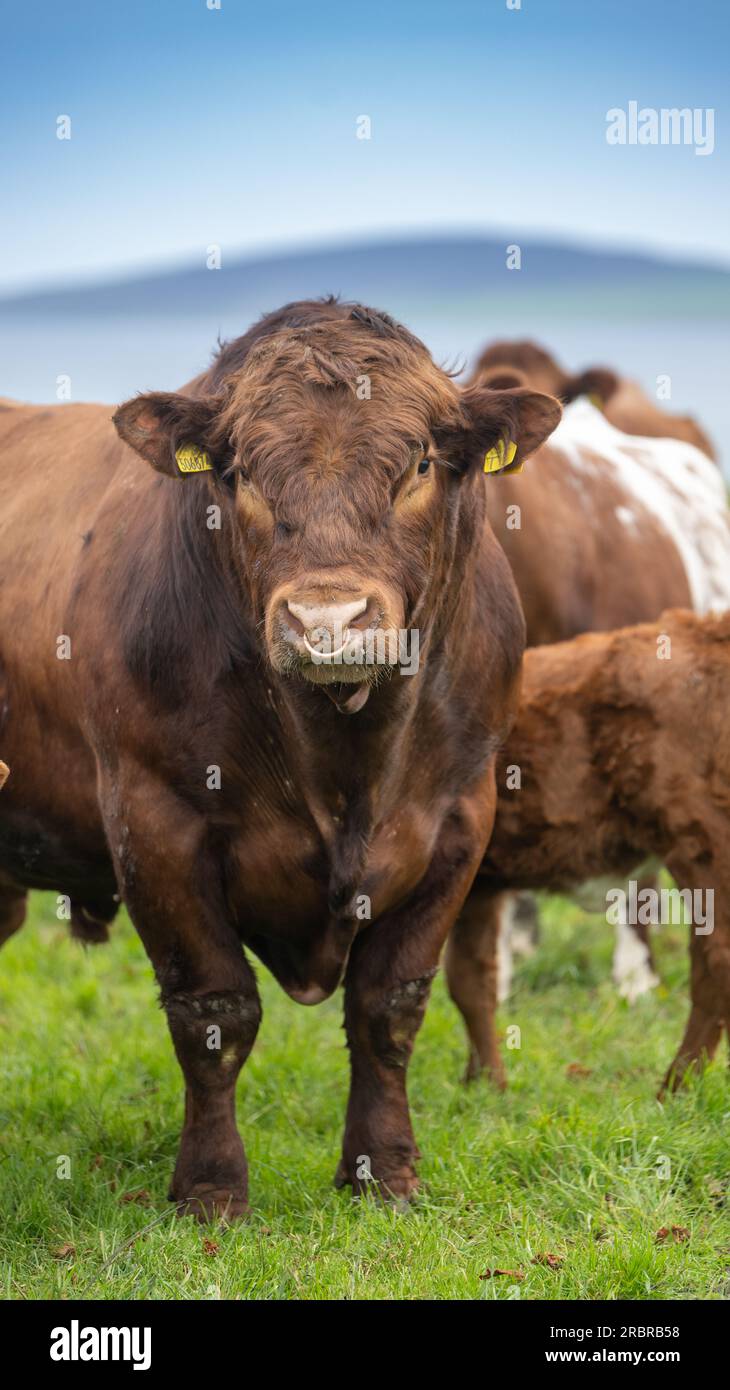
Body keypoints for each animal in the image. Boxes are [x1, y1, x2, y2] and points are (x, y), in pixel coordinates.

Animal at [0, 299, 561, 1217]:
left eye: (418, 462)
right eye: (241, 475)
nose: (327, 620)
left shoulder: (458, 819)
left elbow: (389, 1006)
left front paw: (383, 1171)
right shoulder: (155, 821)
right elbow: (214, 1011)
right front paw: (211, 1189)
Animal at [446, 609, 730, 1097]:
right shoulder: (479, 885)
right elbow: (472, 980)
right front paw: (485, 1084)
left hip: (699, 841)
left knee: (716, 960)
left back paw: (674, 1087)